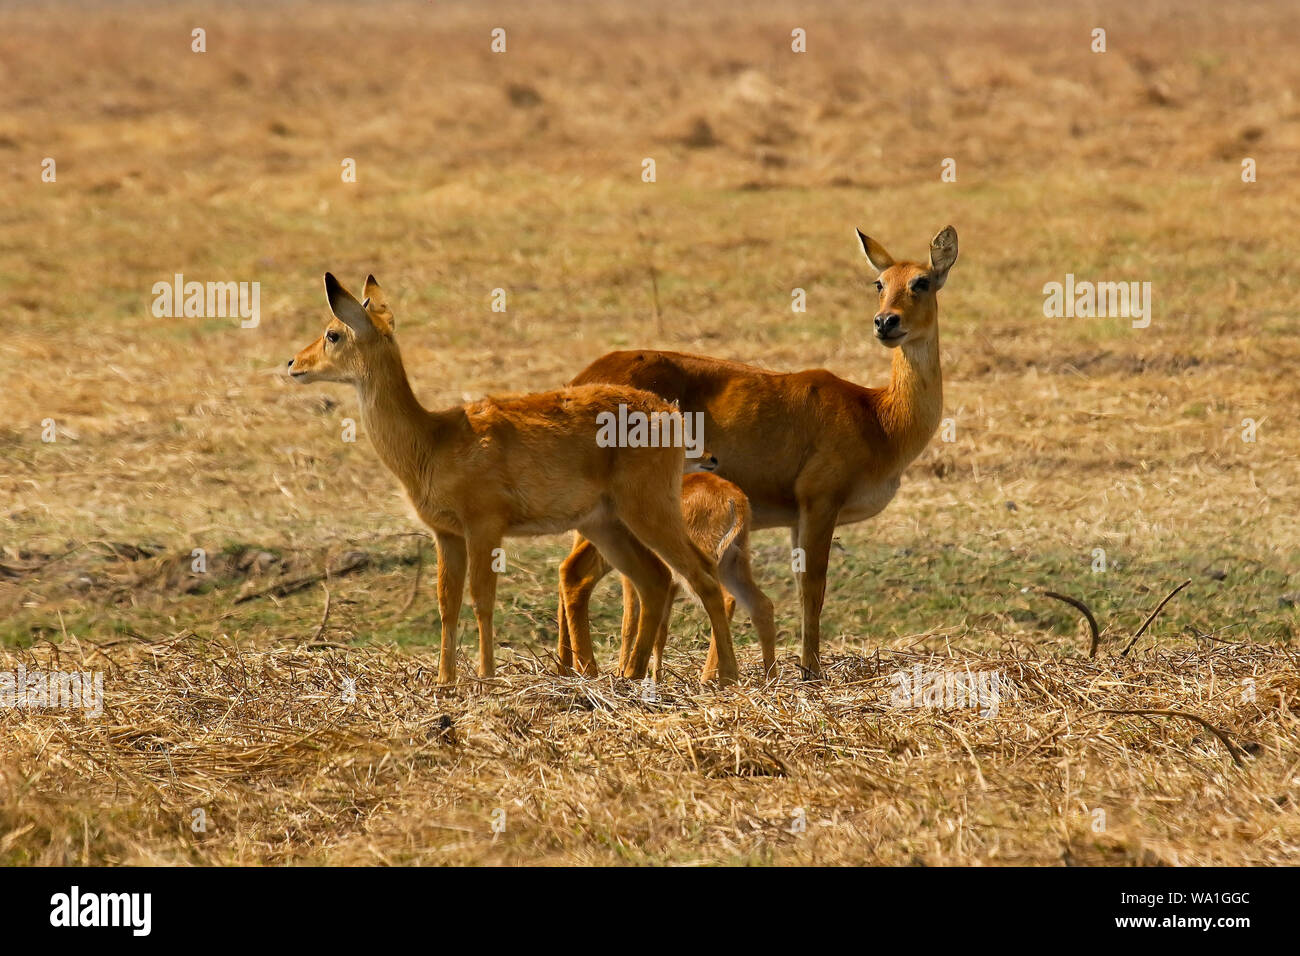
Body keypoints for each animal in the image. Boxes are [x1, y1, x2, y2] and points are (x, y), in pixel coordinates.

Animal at [287, 273, 740, 684]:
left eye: (332, 333)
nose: (293, 364)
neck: (432, 440)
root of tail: (670, 413)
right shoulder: (446, 534)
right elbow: (447, 603)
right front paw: (444, 681)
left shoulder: (484, 526)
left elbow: (482, 598)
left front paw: (485, 676)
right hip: (606, 524)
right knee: (655, 581)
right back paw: (631, 674)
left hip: (649, 512)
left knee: (701, 574)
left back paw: (725, 677)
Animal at [557, 468, 778, 681]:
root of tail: (735, 499)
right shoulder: (667, 582)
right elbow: (660, 631)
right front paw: (655, 677)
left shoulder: (636, 578)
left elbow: (629, 623)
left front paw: (624, 672)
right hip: (733, 565)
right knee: (762, 605)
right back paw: (769, 679)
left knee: (724, 599)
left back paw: (709, 678)